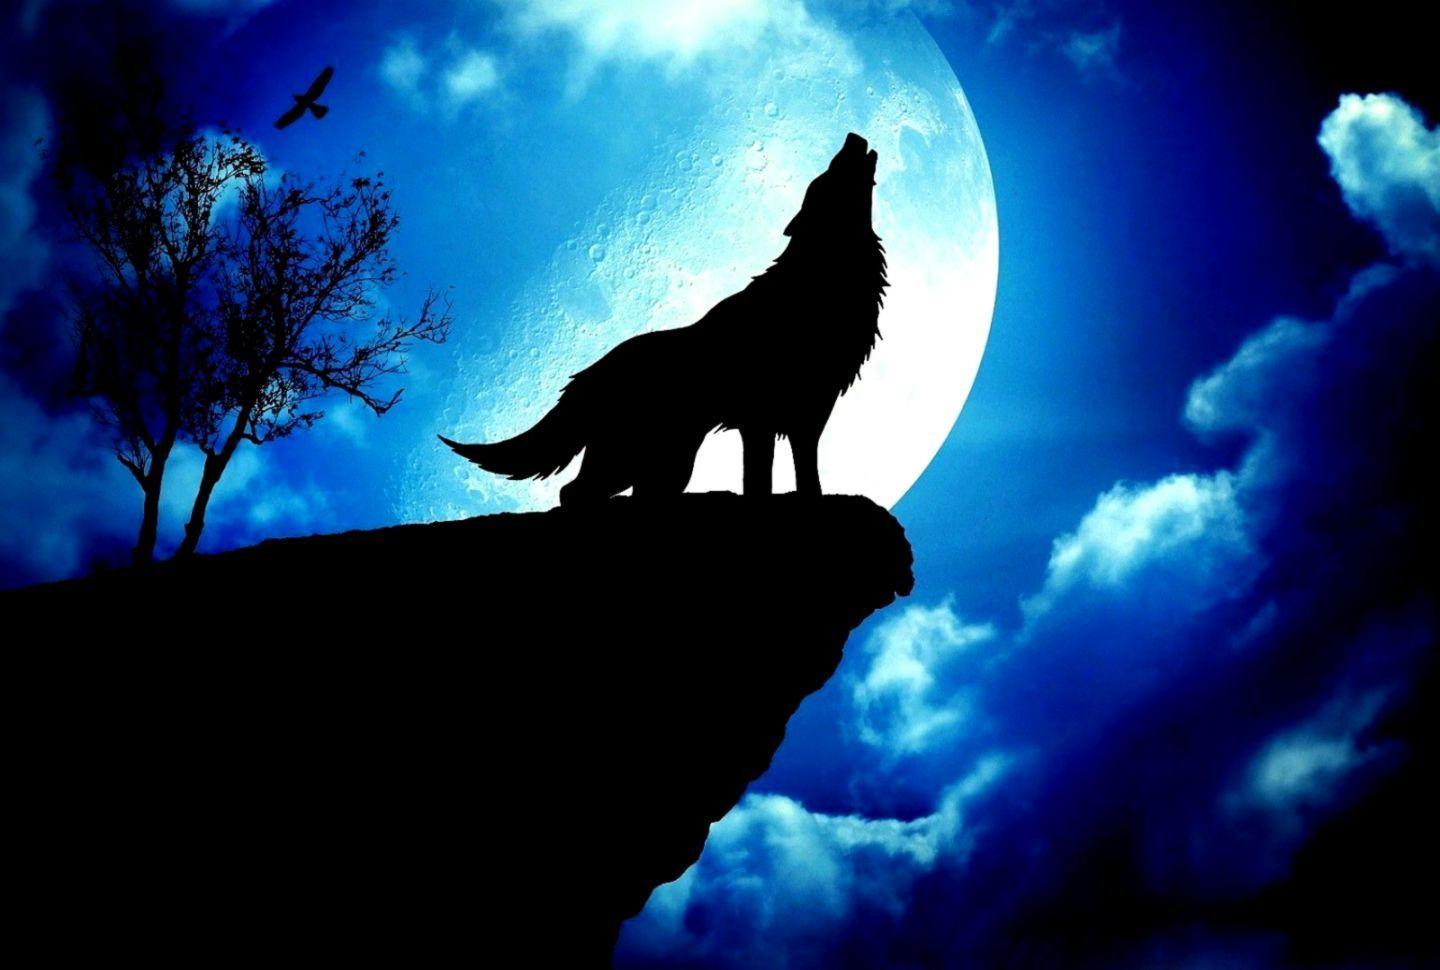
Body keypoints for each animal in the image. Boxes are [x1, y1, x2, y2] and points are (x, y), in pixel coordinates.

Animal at [441, 132, 888, 507]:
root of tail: (588, 374)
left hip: (667, 462)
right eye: (827, 174)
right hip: (634, 456)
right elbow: (759, 481)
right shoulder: (759, 419)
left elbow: (806, 474)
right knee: (574, 493)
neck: (814, 285)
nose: (852, 136)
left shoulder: (809, 414)